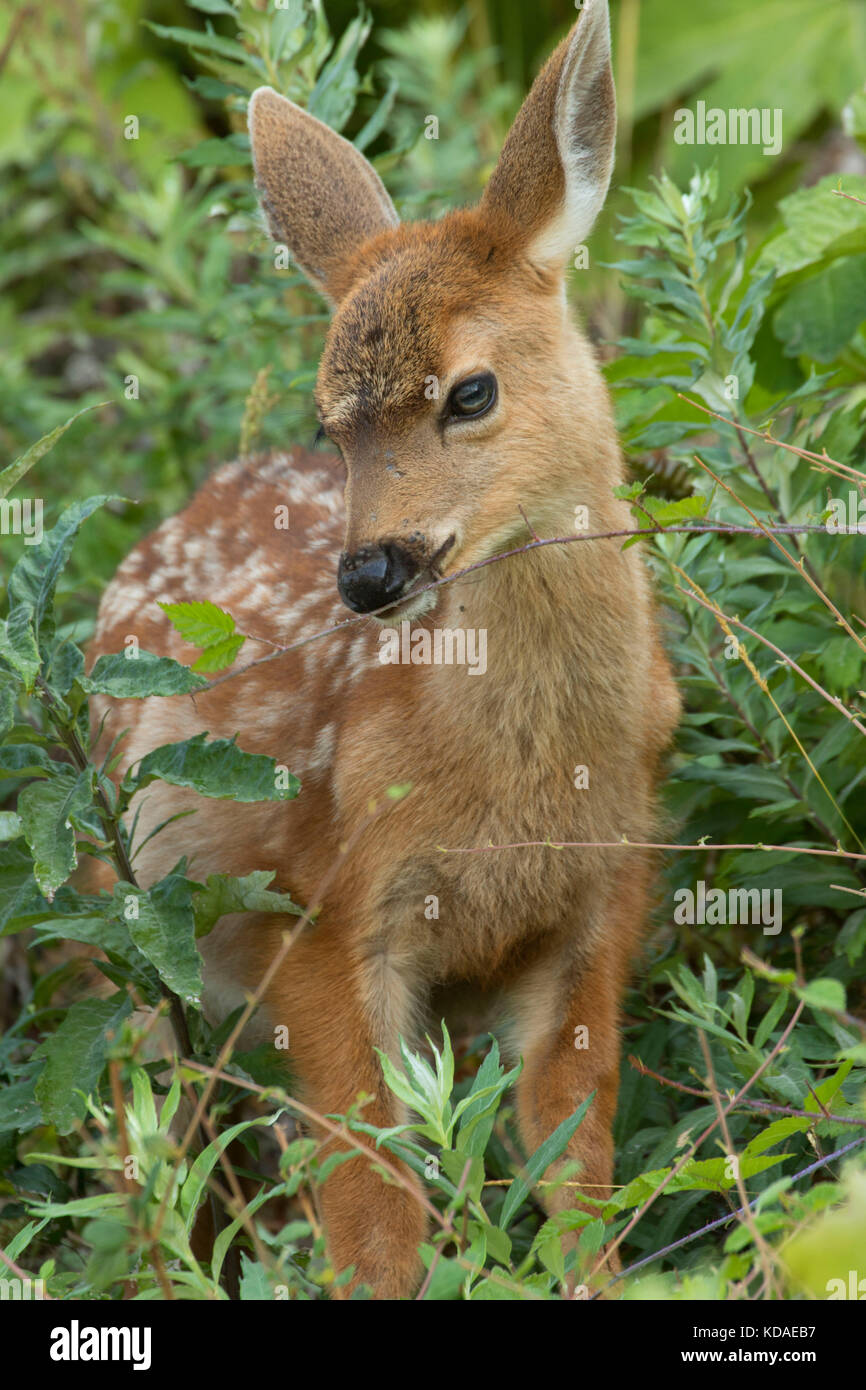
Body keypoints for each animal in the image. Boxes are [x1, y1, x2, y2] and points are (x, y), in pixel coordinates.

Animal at [88, 0, 680, 1299]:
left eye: (469, 392)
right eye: (328, 421)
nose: (368, 574)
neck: (522, 777)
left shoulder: (596, 911)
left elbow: (576, 1176)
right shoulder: (318, 910)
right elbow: (375, 1216)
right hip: (123, 927)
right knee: (134, 1143)